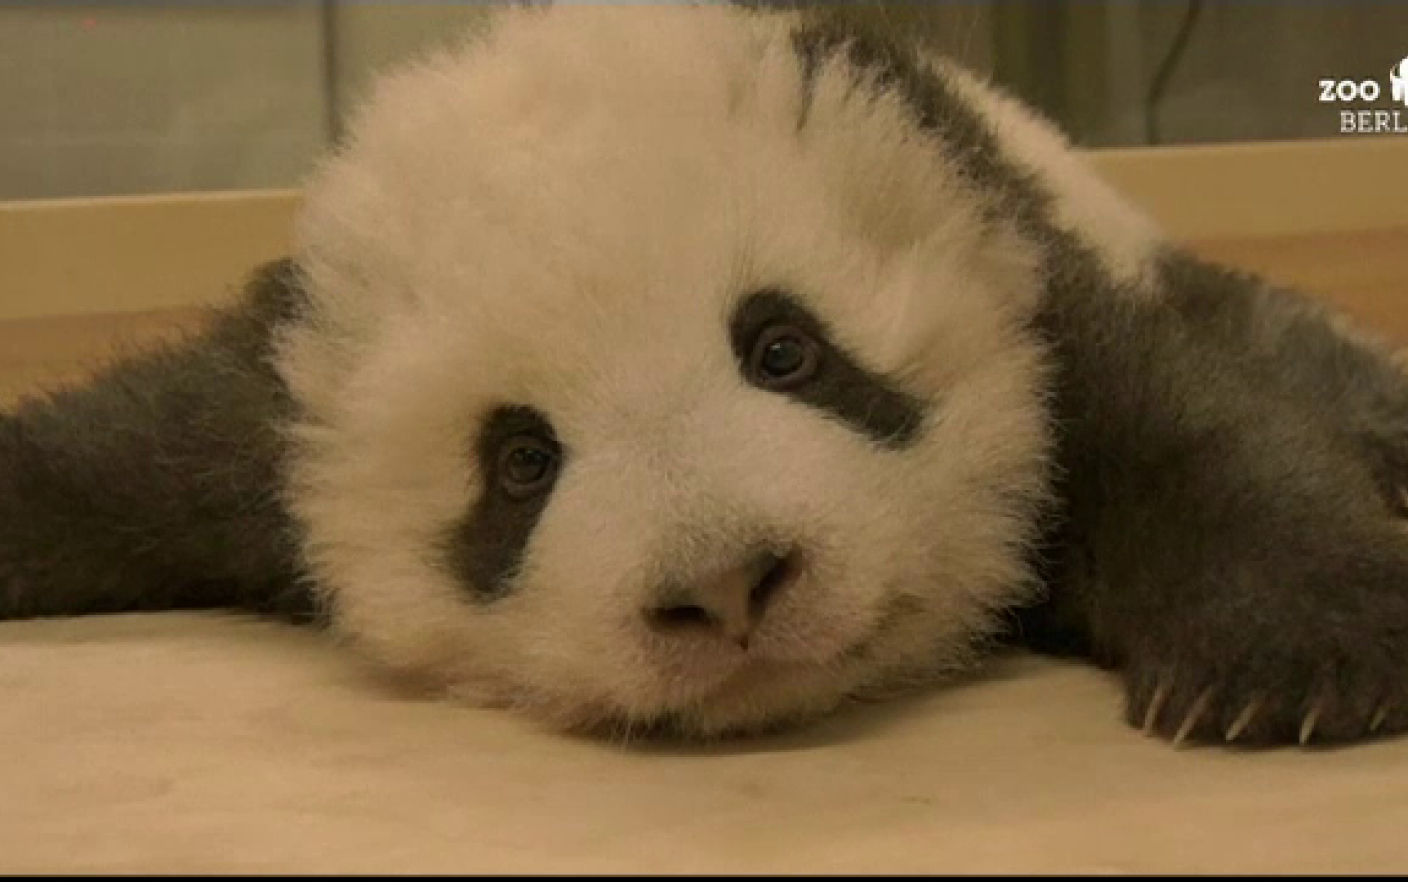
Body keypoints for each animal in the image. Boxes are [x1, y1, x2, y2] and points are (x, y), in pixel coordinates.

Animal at [4, 2, 1407, 749]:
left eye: (783, 348)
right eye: (519, 463)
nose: (728, 586)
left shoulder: (1026, 289)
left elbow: (1189, 430)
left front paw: (1288, 664)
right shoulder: (258, 428)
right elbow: (121, 453)